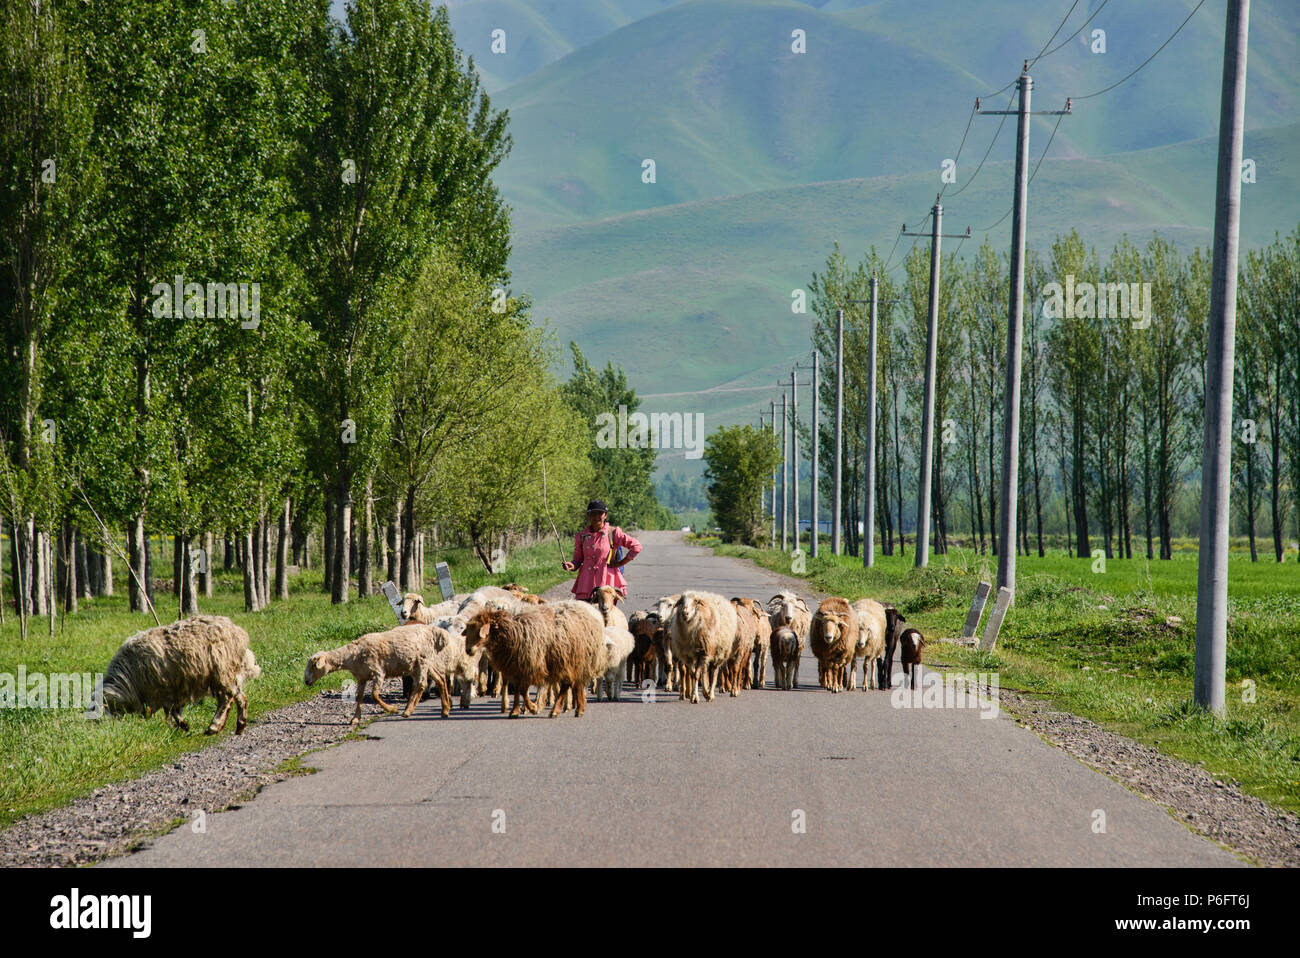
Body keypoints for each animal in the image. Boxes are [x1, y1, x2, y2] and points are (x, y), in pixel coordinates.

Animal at [100, 615, 261, 735]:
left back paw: (214, 727)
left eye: (112, 710)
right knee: (240, 696)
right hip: (228, 672)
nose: (115, 731)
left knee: (227, 698)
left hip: (221, 670)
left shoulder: (164, 688)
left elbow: (171, 709)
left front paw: (182, 724)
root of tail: (236, 630)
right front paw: (181, 725)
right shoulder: (173, 688)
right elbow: (173, 709)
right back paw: (240, 726)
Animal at [304, 624, 449, 724]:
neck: (352, 655)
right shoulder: (361, 677)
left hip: (422, 662)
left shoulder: (378, 673)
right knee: (440, 679)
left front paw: (392, 709)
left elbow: (374, 695)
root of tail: (434, 631)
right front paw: (355, 718)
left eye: (313, 665)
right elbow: (359, 696)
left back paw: (407, 711)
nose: (306, 682)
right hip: (423, 664)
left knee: (421, 684)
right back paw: (445, 710)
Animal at [463, 601, 605, 717]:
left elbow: (523, 690)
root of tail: (591, 611)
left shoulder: (530, 667)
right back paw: (579, 709)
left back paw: (556, 710)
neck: (513, 634)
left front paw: (532, 708)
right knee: (576, 684)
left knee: (567, 685)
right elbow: (518, 690)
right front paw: (514, 711)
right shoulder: (516, 667)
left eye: (479, 632)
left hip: (571, 660)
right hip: (576, 660)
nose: (468, 650)